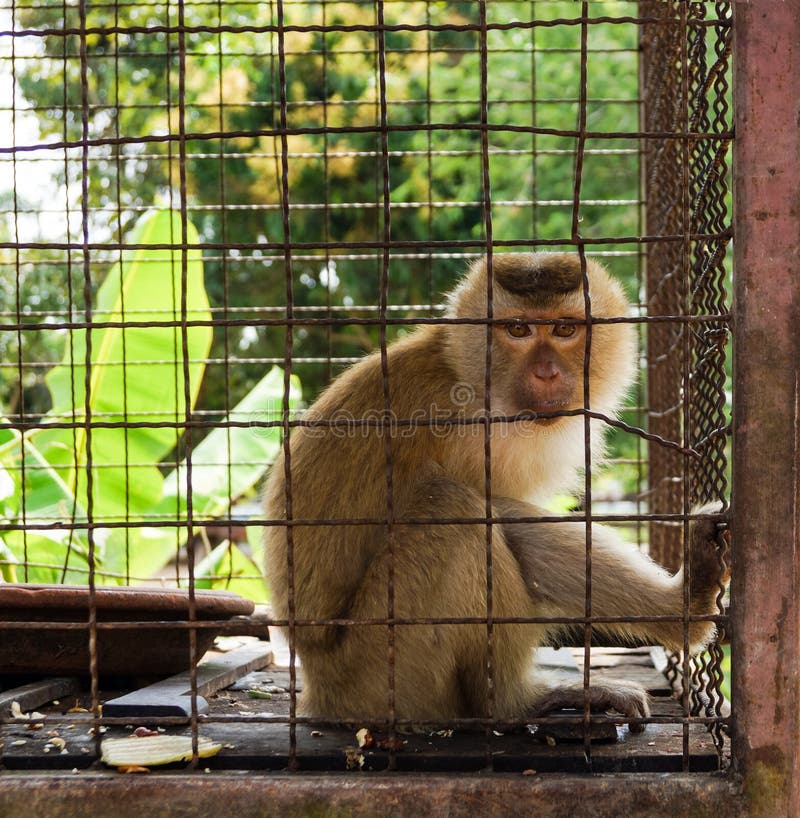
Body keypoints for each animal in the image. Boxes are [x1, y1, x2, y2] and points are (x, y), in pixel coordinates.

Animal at [263, 253, 728, 728]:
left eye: (565, 329)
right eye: (518, 330)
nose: (546, 372)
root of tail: (319, 690)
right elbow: (491, 511)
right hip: (378, 671)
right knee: (455, 509)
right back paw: (513, 701)